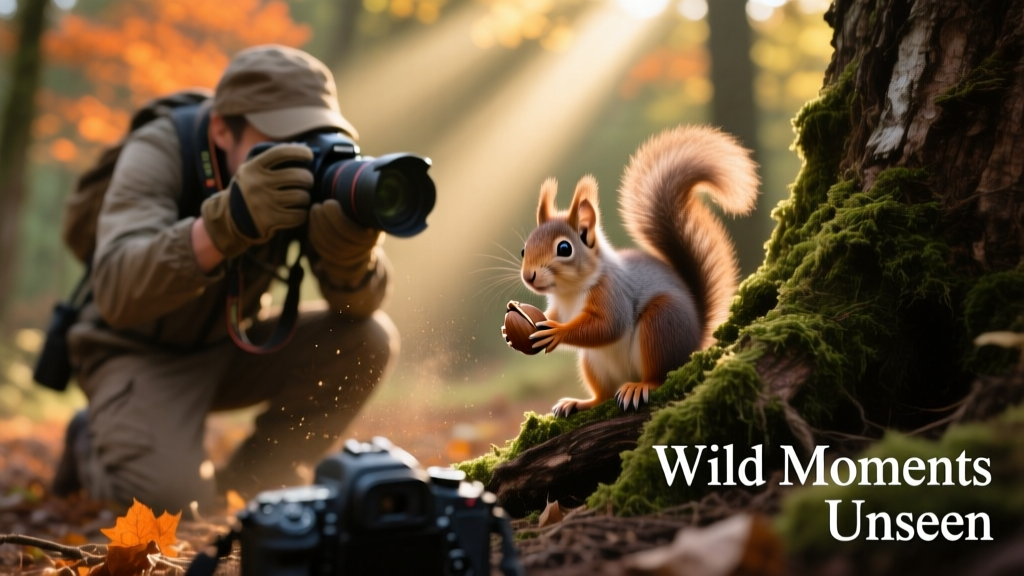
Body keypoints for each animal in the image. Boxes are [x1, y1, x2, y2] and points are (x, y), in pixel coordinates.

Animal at [520, 125, 759, 417]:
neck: (570, 292)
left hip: (661, 326)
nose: (528, 276)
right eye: (524, 249)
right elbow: (552, 316)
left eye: (564, 248)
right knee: (603, 395)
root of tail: (693, 344)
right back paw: (579, 403)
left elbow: (607, 326)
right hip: (593, 363)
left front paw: (556, 332)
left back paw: (640, 387)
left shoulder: (612, 293)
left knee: (659, 376)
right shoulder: (559, 307)